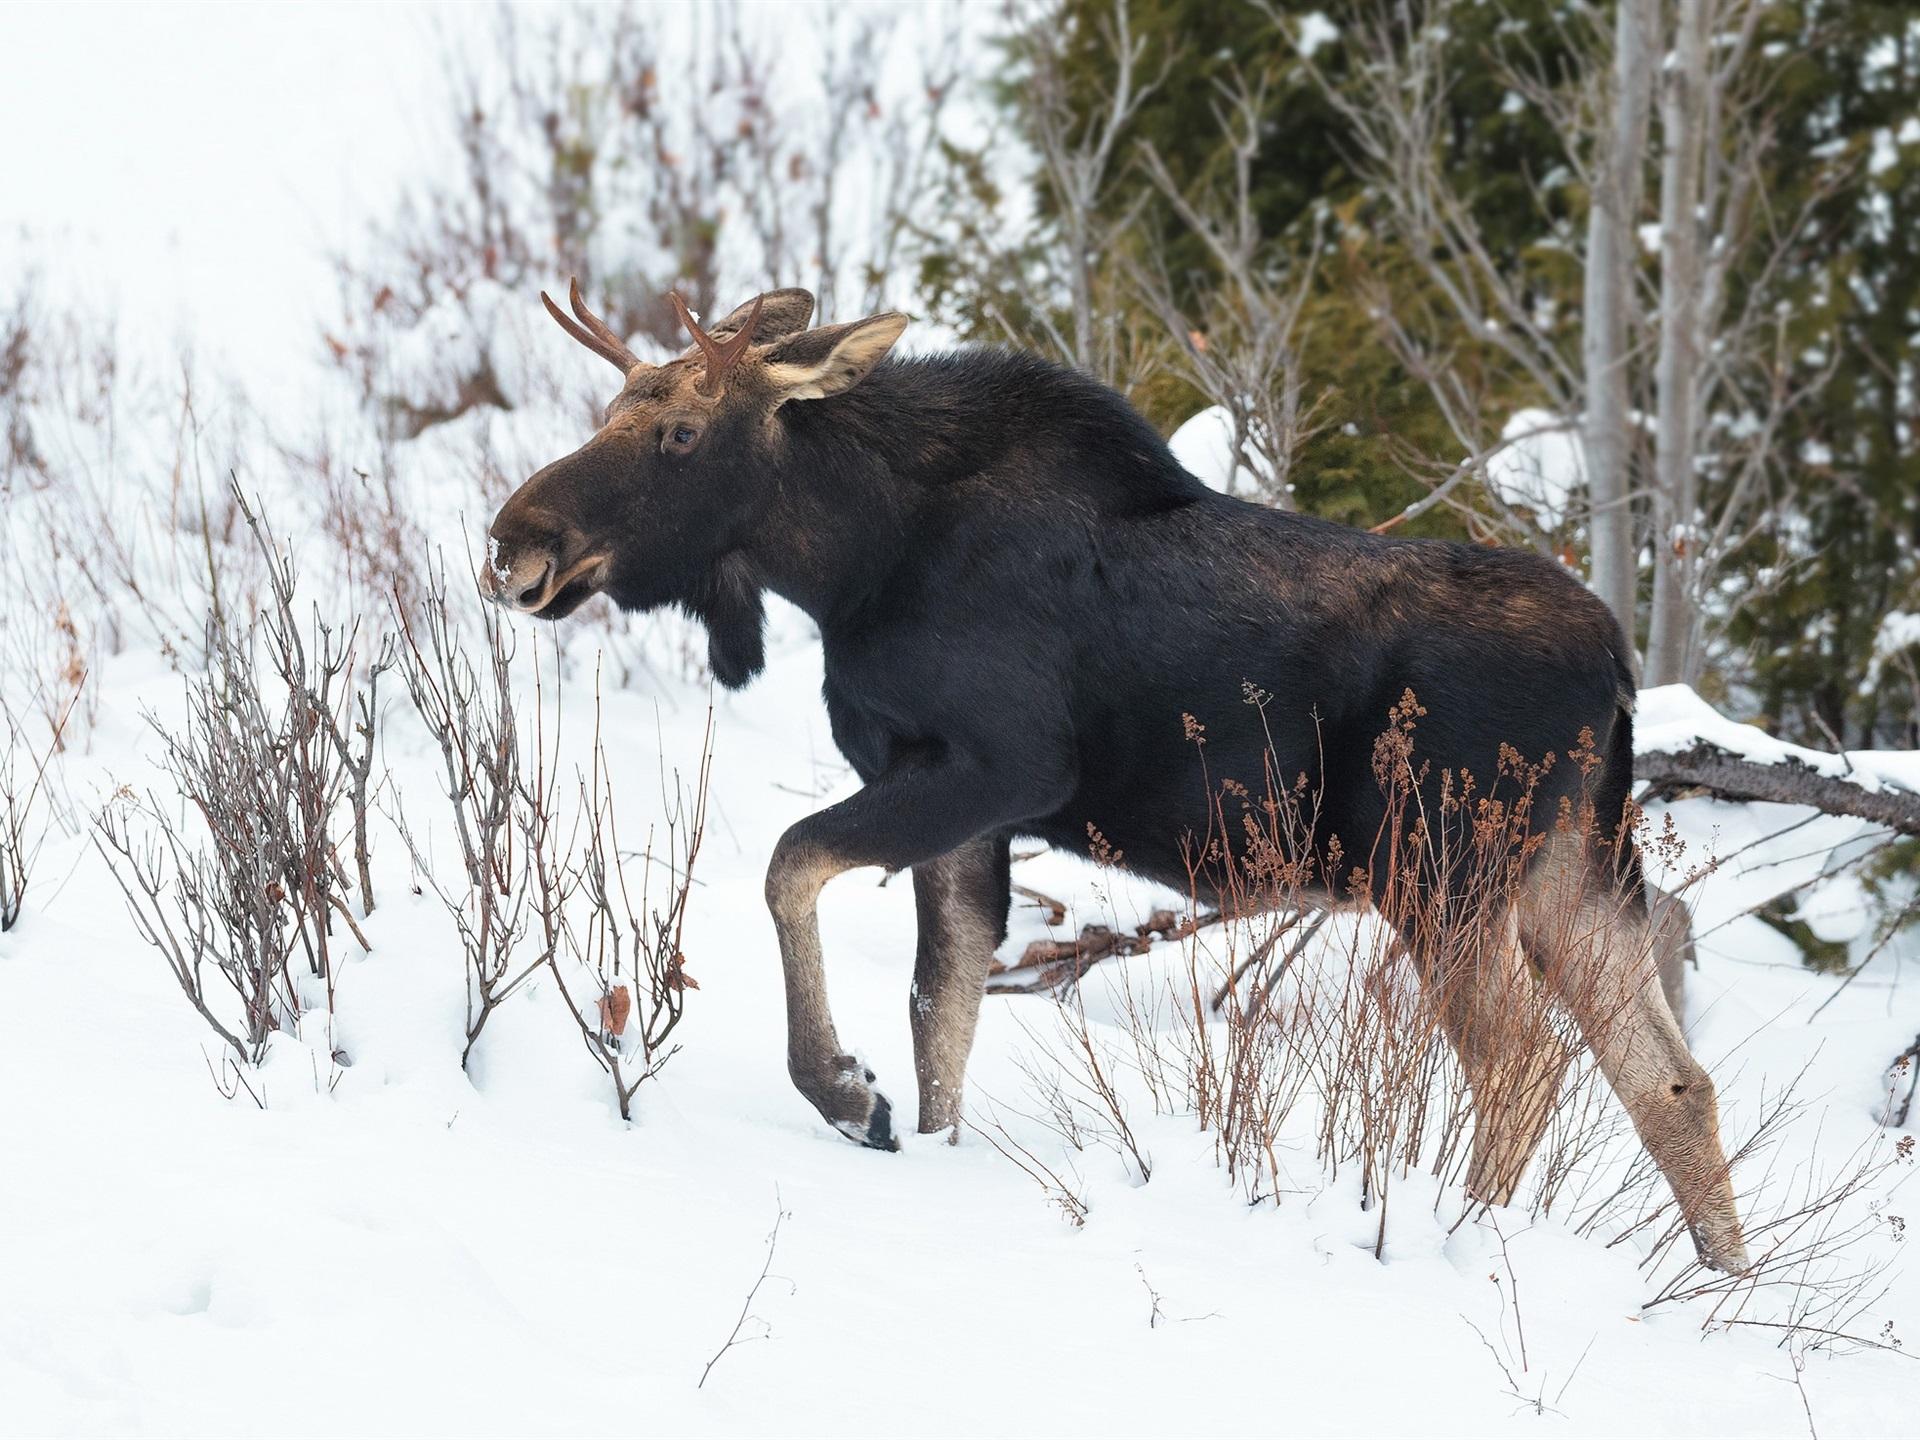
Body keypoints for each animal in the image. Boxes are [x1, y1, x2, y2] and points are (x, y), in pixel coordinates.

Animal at [483, 281, 1749, 1273]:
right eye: (613, 413)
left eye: (682, 433)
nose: (514, 540)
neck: (846, 561)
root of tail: (1618, 669)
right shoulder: (966, 810)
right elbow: (941, 1009)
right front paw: (913, 1128)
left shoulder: (995, 765)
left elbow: (794, 869)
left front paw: (847, 1092)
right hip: (1573, 870)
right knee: (1672, 1082)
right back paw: (1723, 1289)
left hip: (1442, 872)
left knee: (1525, 1067)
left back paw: (1465, 1242)